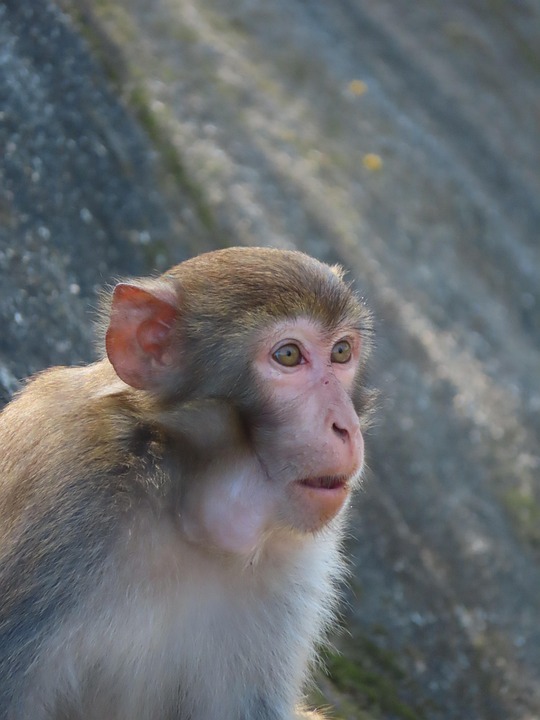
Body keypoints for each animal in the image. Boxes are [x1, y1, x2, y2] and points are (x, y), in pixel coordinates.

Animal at [0, 246, 374, 720]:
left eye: (342, 351)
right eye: (288, 356)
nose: (345, 426)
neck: (181, 505)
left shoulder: (294, 563)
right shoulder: (68, 491)